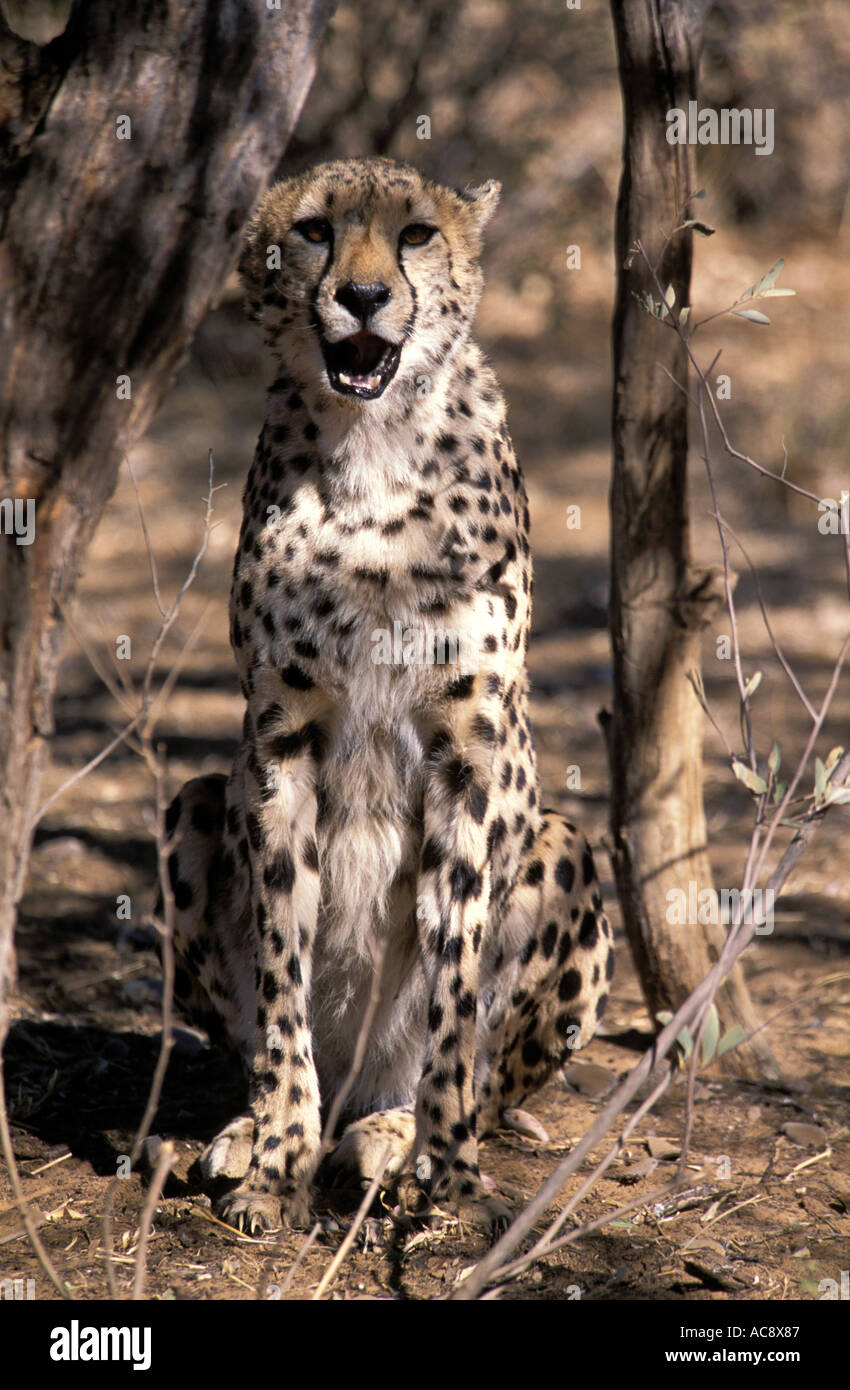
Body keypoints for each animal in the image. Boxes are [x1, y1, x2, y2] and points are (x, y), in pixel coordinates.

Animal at [160, 156, 613, 1237]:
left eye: (414, 234)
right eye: (315, 230)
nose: (363, 295)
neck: (372, 446)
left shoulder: (468, 745)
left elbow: (454, 988)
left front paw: (445, 1173)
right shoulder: (278, 736)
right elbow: (281, 968)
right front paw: (277, 1160)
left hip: (566, 847)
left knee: (476, 1074)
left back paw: (392, 1129)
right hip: (194, 803)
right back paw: (258, 1129)